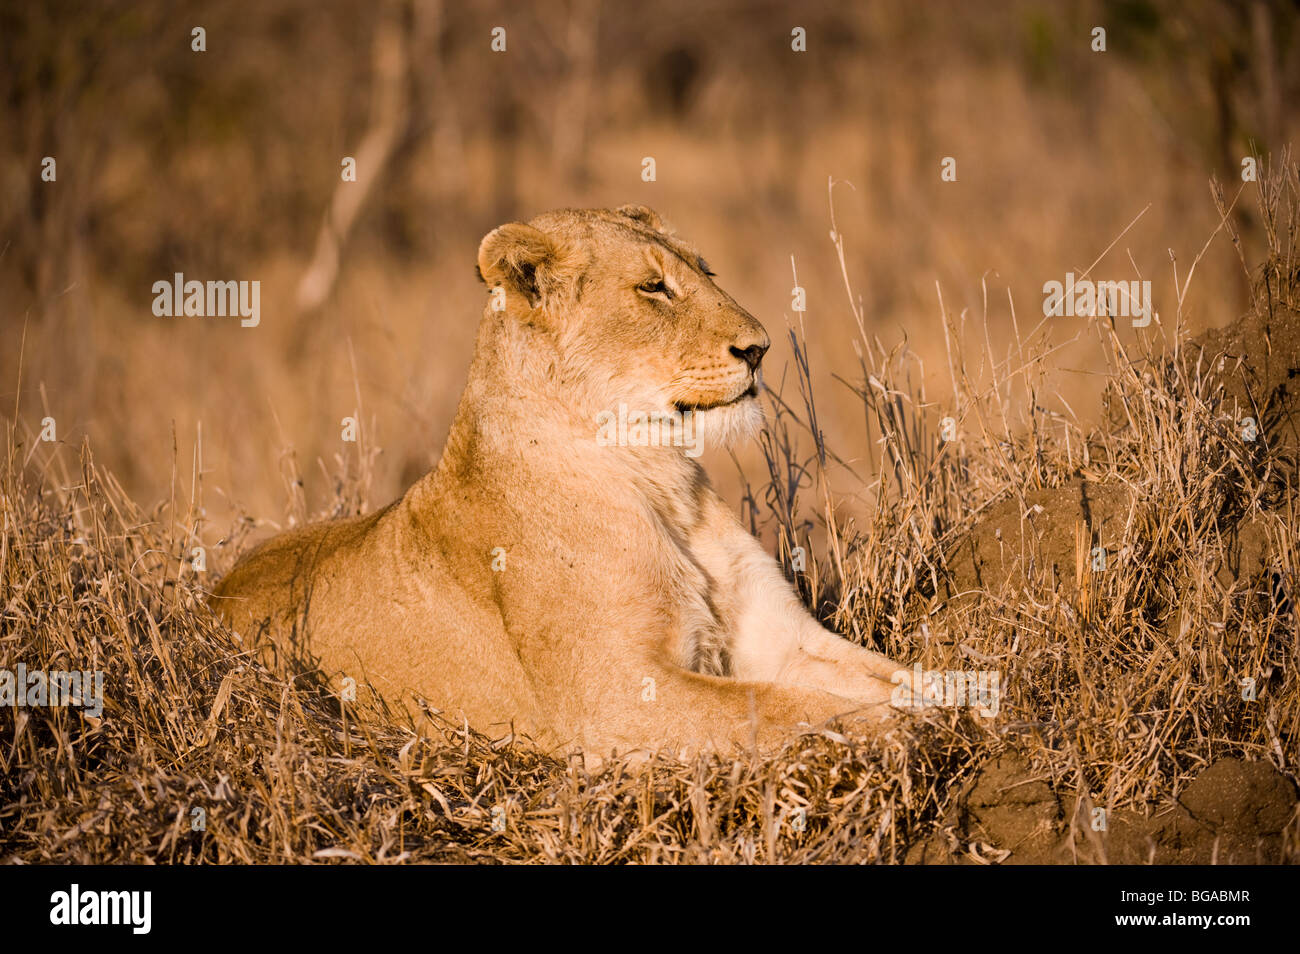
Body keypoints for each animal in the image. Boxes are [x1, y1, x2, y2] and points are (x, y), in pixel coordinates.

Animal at [212, 205, 908, 762]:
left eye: (706, 272)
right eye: (653, 287)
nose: (760, 348)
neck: (659, 477)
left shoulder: (781, 639)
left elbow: (896, 677)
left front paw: (934, 702)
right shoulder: (615, 700)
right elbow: (790, 707)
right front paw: (911, 731)